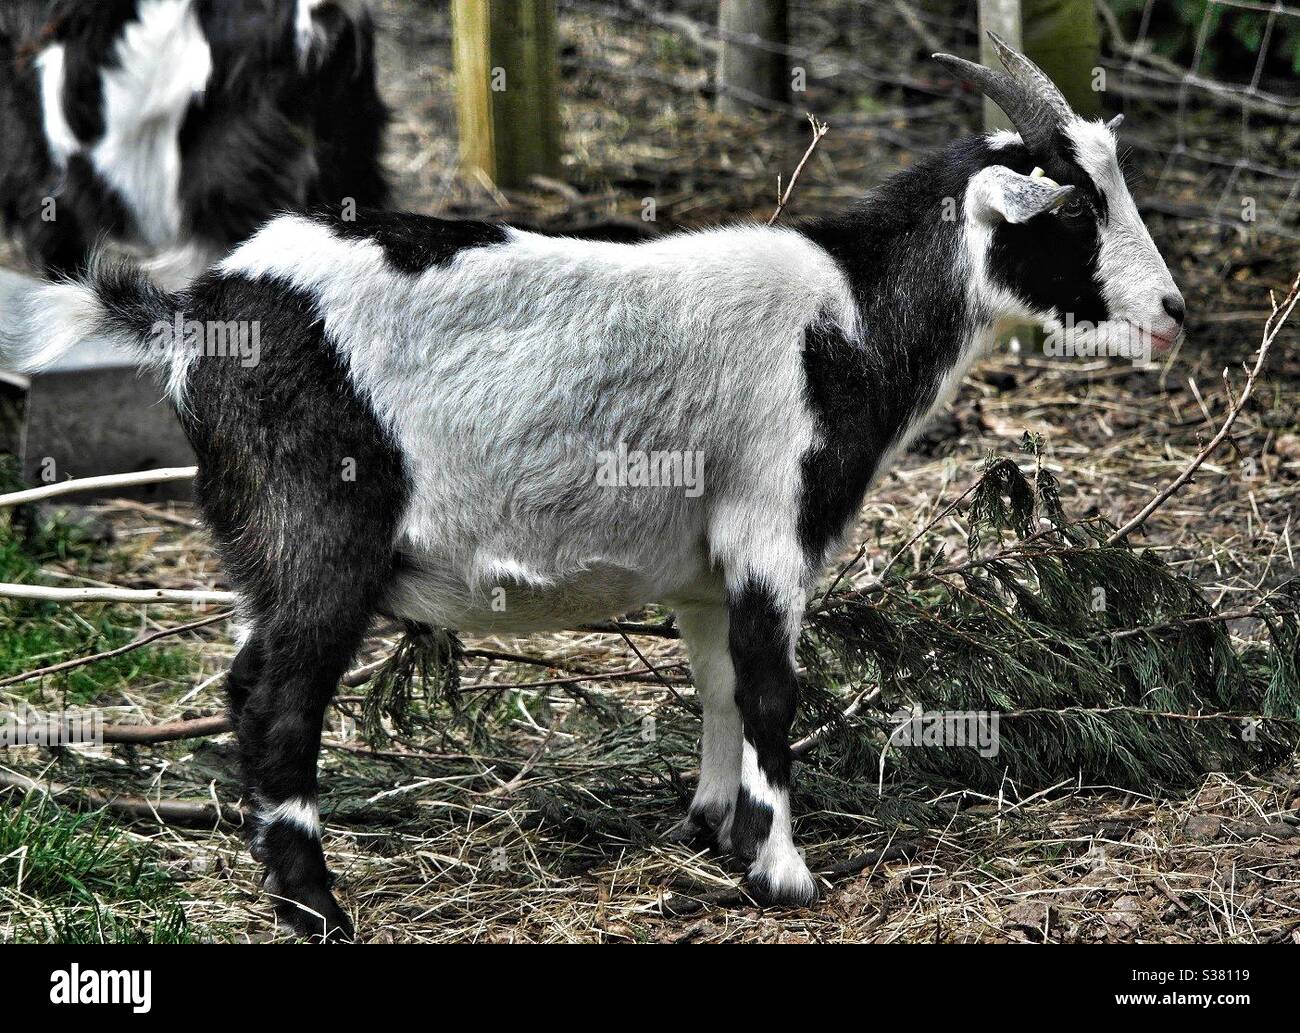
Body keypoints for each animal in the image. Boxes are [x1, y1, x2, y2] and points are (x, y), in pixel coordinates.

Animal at [3, 35, 1185, 940]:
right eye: (1070, 211)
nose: (1172, 312)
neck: (845, 317)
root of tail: (193, 312)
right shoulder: (768, 528)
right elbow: (770, 689)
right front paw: (784, 873)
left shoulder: (707, 565)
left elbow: (716, 682)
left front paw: (713, 827)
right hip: (319, 524)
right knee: (275, 697)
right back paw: (318, 910)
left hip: (254, 537)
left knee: (247, 679)